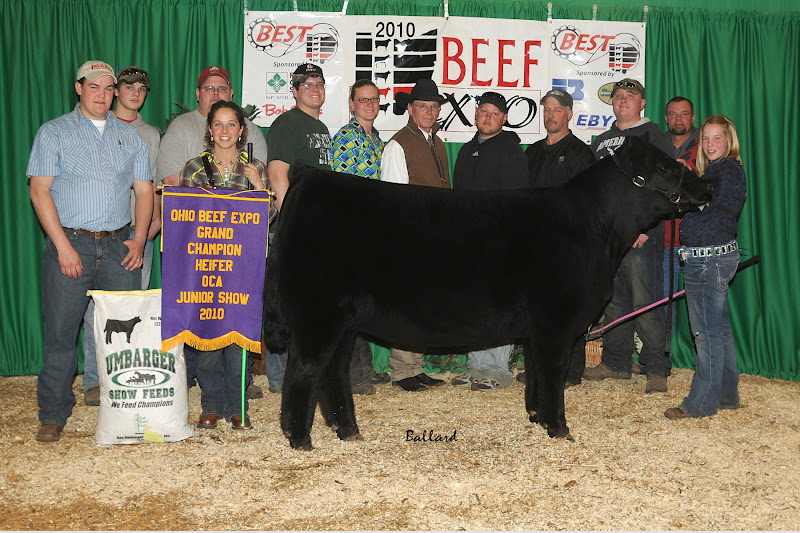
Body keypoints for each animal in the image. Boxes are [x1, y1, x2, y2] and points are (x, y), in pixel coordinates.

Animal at [264, 136, 712, 450]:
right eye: (667, 167)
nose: (708, 186)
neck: (596, 226)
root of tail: (308, 176)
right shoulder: (556, 322)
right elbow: (553, 375)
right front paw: (559, 429)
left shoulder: (538, 329)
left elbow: (536, 374)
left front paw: (536, 417)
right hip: (317, 315)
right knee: (303, 372)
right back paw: (300, 439)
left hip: (342, 321)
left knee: (332, 373)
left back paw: (348, 431)